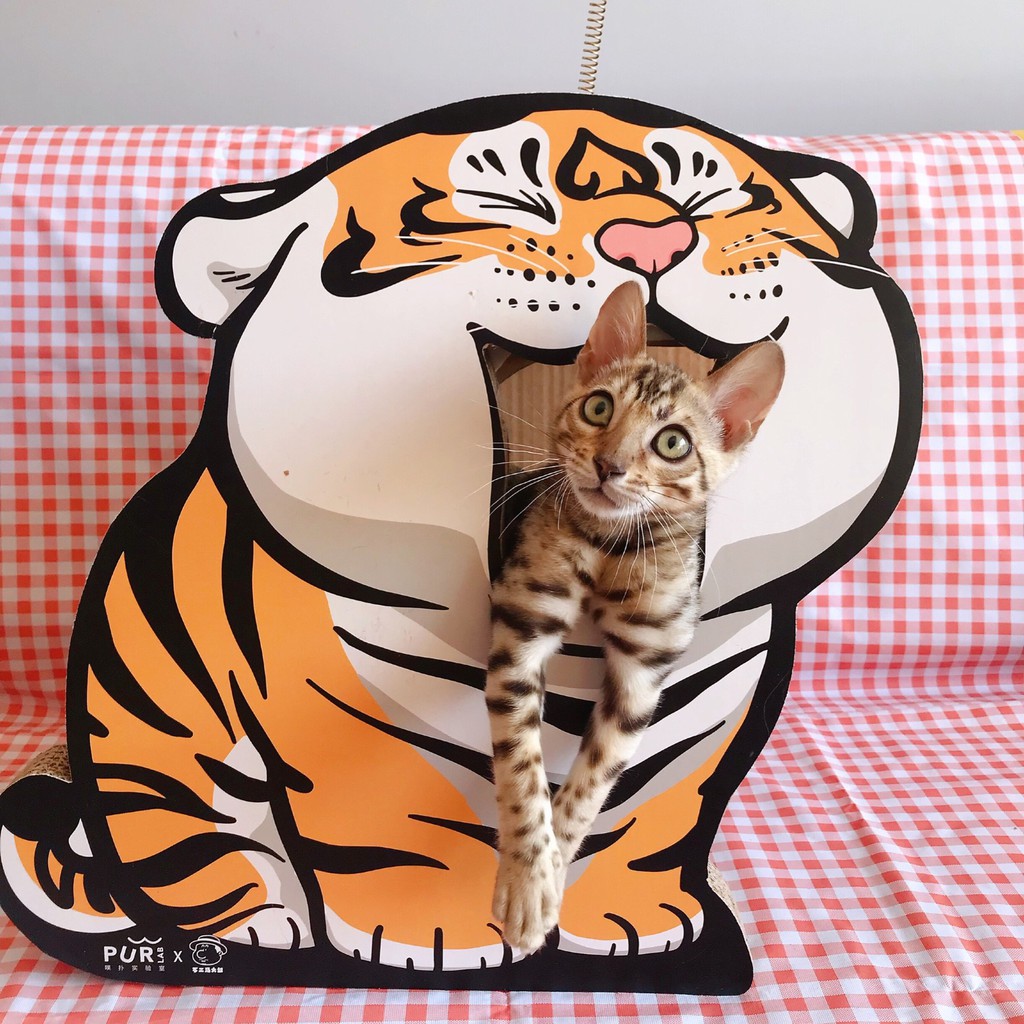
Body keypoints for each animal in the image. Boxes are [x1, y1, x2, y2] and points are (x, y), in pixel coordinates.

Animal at [0, 94, 920, 992]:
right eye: (597, 408)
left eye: (672, 444)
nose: (609, 466)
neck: (605, 552)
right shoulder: (510, 635)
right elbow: (509, 777)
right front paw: (504, 893)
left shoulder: (649, 673)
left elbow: (601, 786)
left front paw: (575, 882)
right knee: (189, 845)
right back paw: (252, 916)